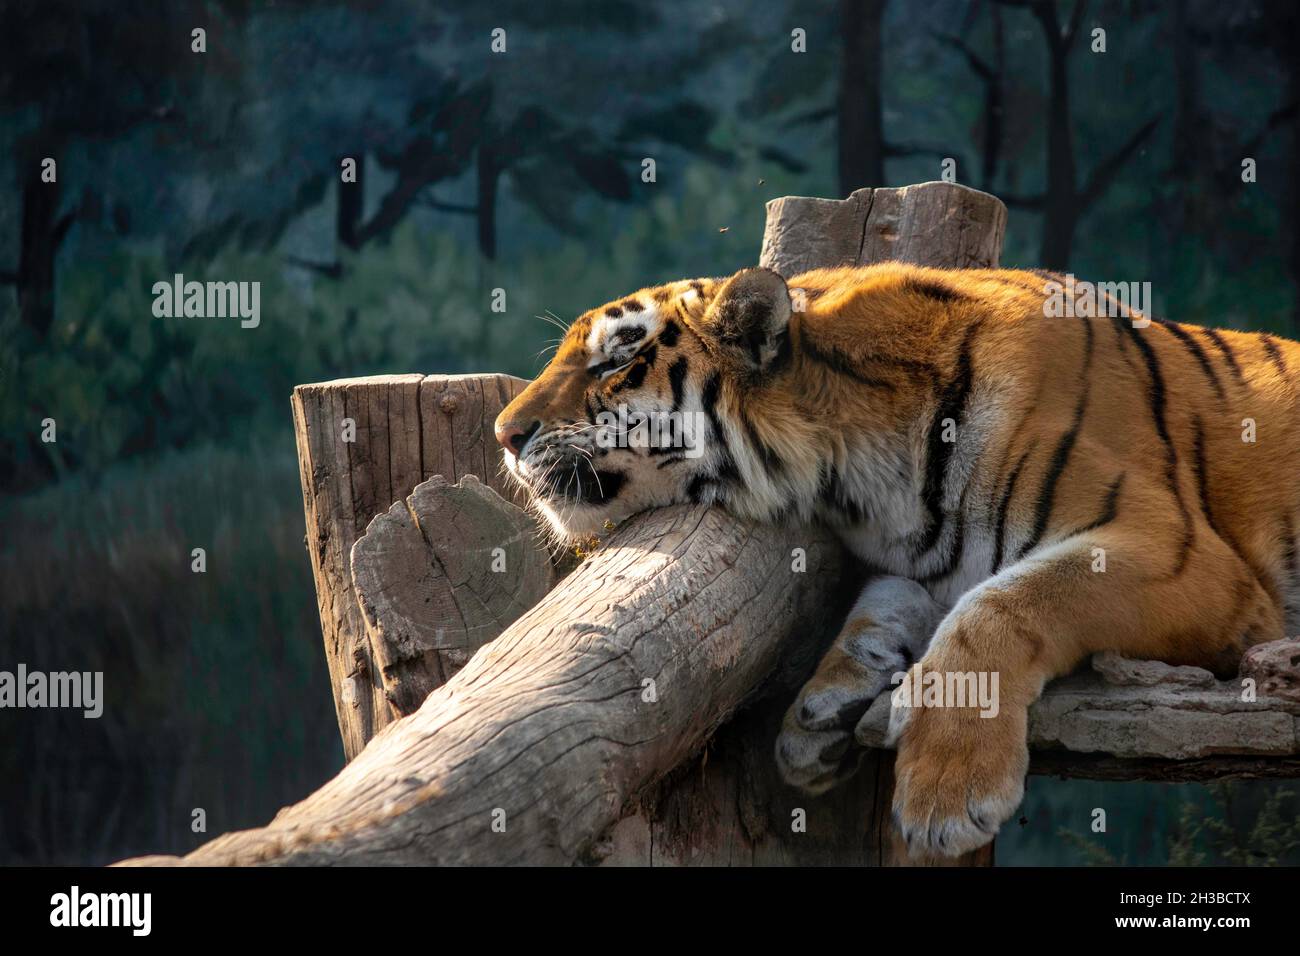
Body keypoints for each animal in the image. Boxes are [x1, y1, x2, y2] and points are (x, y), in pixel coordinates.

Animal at [494, 263, 1300, 857]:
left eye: (618, 359)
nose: (503, 433)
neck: (858, 474)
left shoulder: (1177, 552)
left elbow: (1004, 604)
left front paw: (948, 794)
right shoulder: (928, 556)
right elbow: (886, 601)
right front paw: (822, 710)